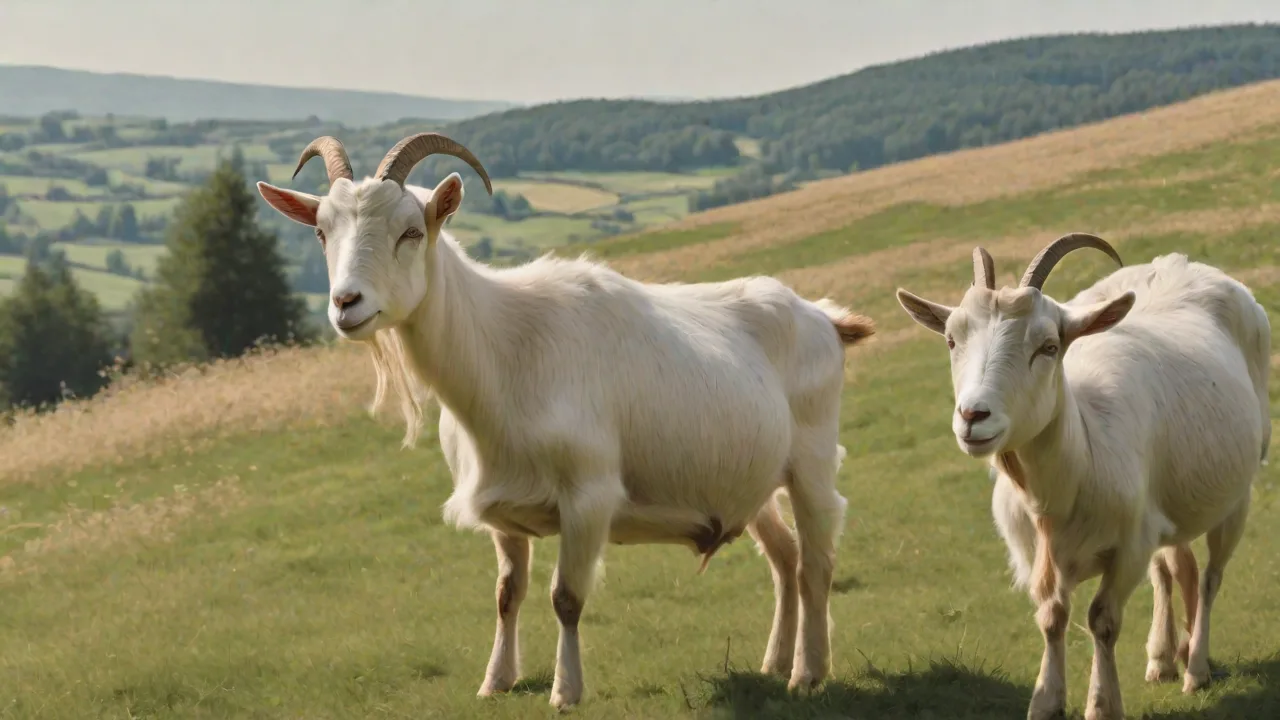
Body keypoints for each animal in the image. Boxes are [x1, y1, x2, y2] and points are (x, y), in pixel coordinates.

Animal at [256, 133, 876, 709]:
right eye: (321, 232)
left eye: (411, 231)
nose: (346, 303)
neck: (505, 350)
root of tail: (823, 316)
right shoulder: (503, 509)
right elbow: (507, 594)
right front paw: (495, 681)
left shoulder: (588, 496)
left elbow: (566, 599)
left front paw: (565, 691)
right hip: (753, 480)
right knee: (786, 556)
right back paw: (776, 661)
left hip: (813, 461)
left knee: (817, 561)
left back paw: (808, 672)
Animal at [895, 235, 1270, 720]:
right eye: (950, 339)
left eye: (1049, 346)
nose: (973, 415)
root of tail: (1181, 263)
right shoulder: (1040, 552)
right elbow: (1052, 617)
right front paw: (1046, 701)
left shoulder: (1128, 547)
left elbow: (1102, 620)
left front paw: (1102, 703)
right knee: (1169, 569)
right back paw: (1163, 658)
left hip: (1238, 490)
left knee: (1210, 577)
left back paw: (1196, 667)